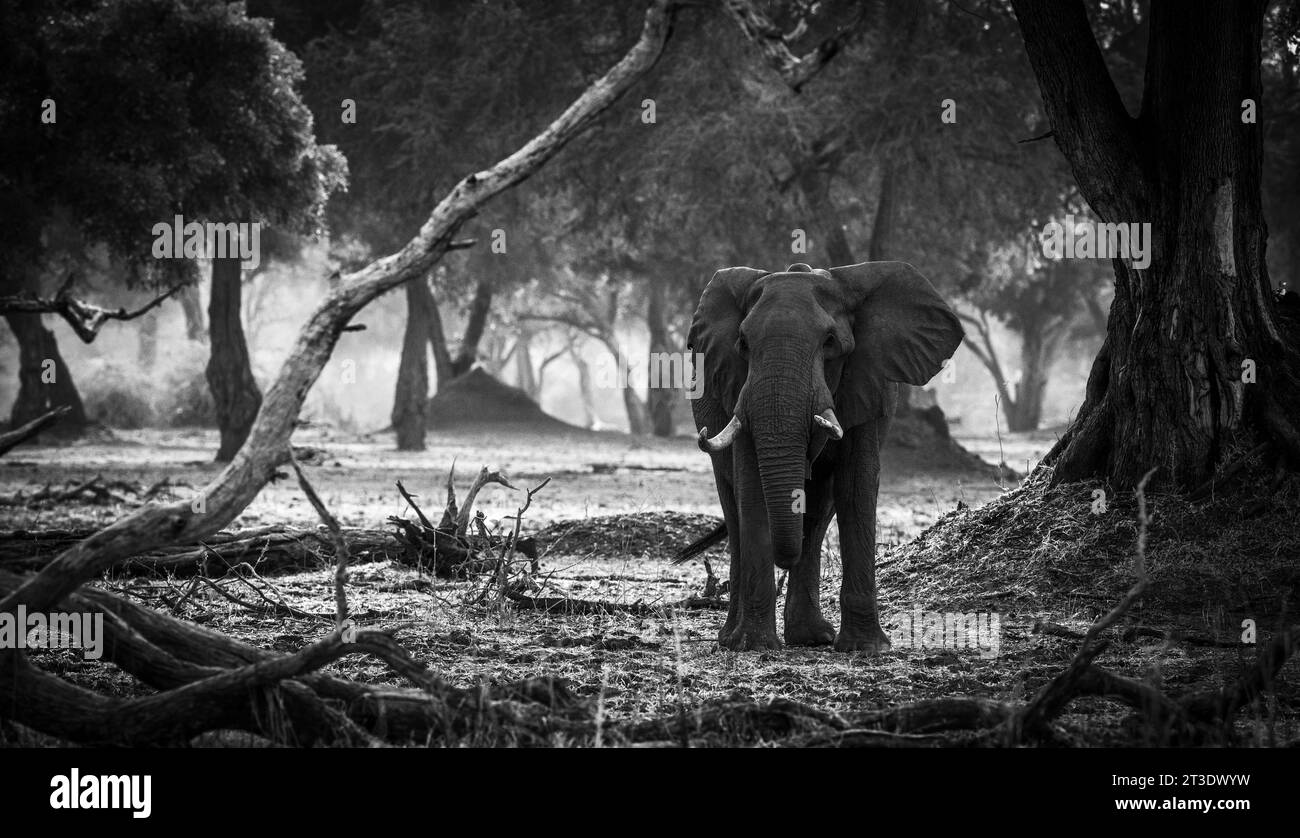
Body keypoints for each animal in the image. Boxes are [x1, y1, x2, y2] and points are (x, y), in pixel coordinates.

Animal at [679, 261, 963, 652]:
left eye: (830, 343)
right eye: (743, 344)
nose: (784, 556)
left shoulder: (867, 385)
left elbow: (855, 487)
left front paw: (866, 648)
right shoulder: (737, 386)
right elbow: (750, 489)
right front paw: (754, 645)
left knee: (818, 512)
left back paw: (811, 637)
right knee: (734, 509)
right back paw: (732, 638)